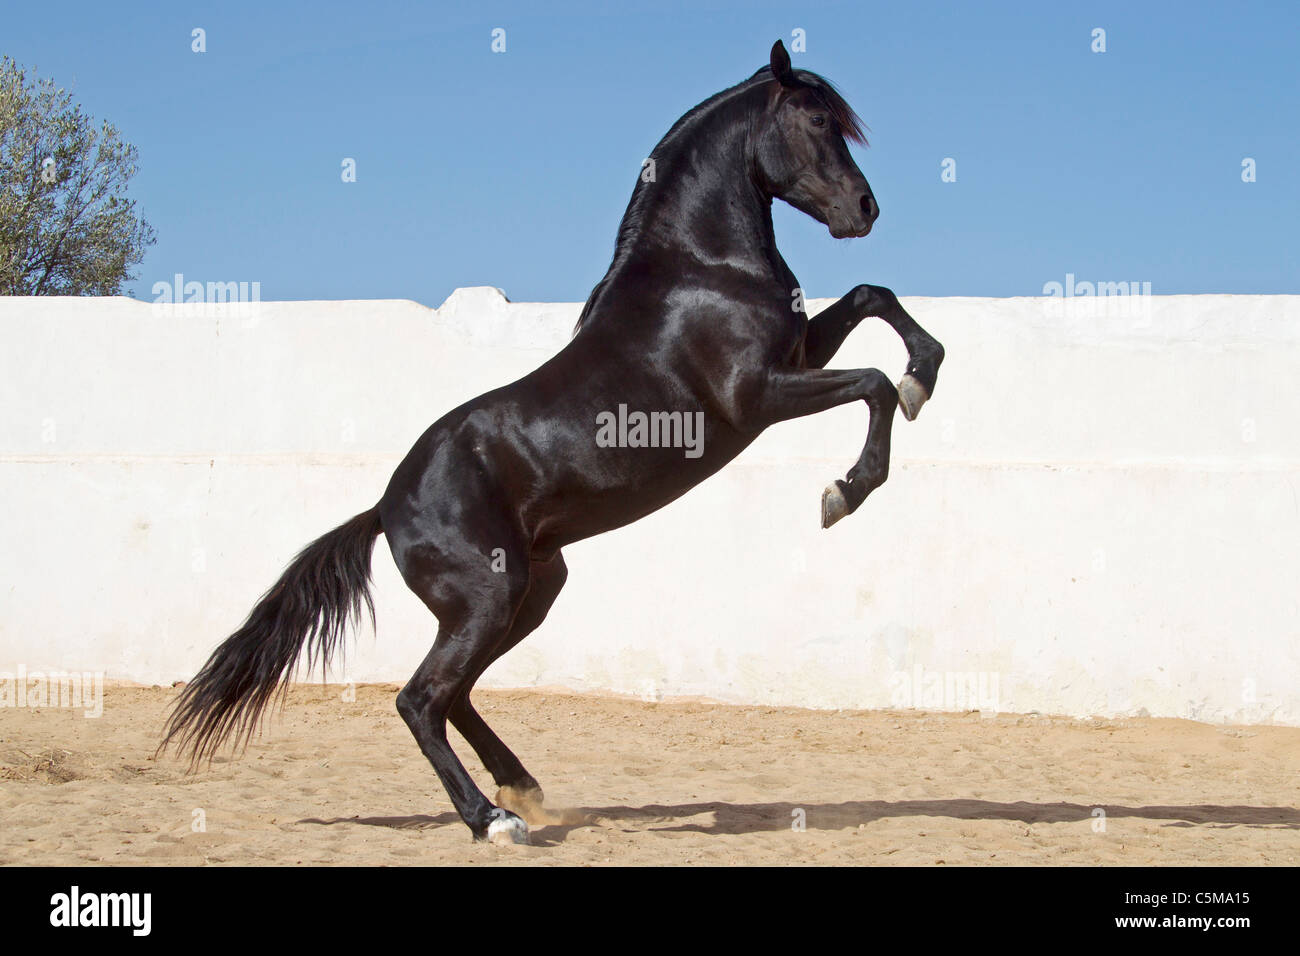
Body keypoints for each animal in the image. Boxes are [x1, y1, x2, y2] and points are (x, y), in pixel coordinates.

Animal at [160, 40, 945, 845]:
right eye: (816, 119)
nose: (864, 209)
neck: (700, 269)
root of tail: (385, 507)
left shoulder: (800, 353)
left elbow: (873, 299)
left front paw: (925, 372)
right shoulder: (755, 397)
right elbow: (876, 385)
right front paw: (843, 491)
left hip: (531, 593)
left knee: (456, 695)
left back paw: (524, 791)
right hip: (490, 598)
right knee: (421, 699)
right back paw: (493, 821)